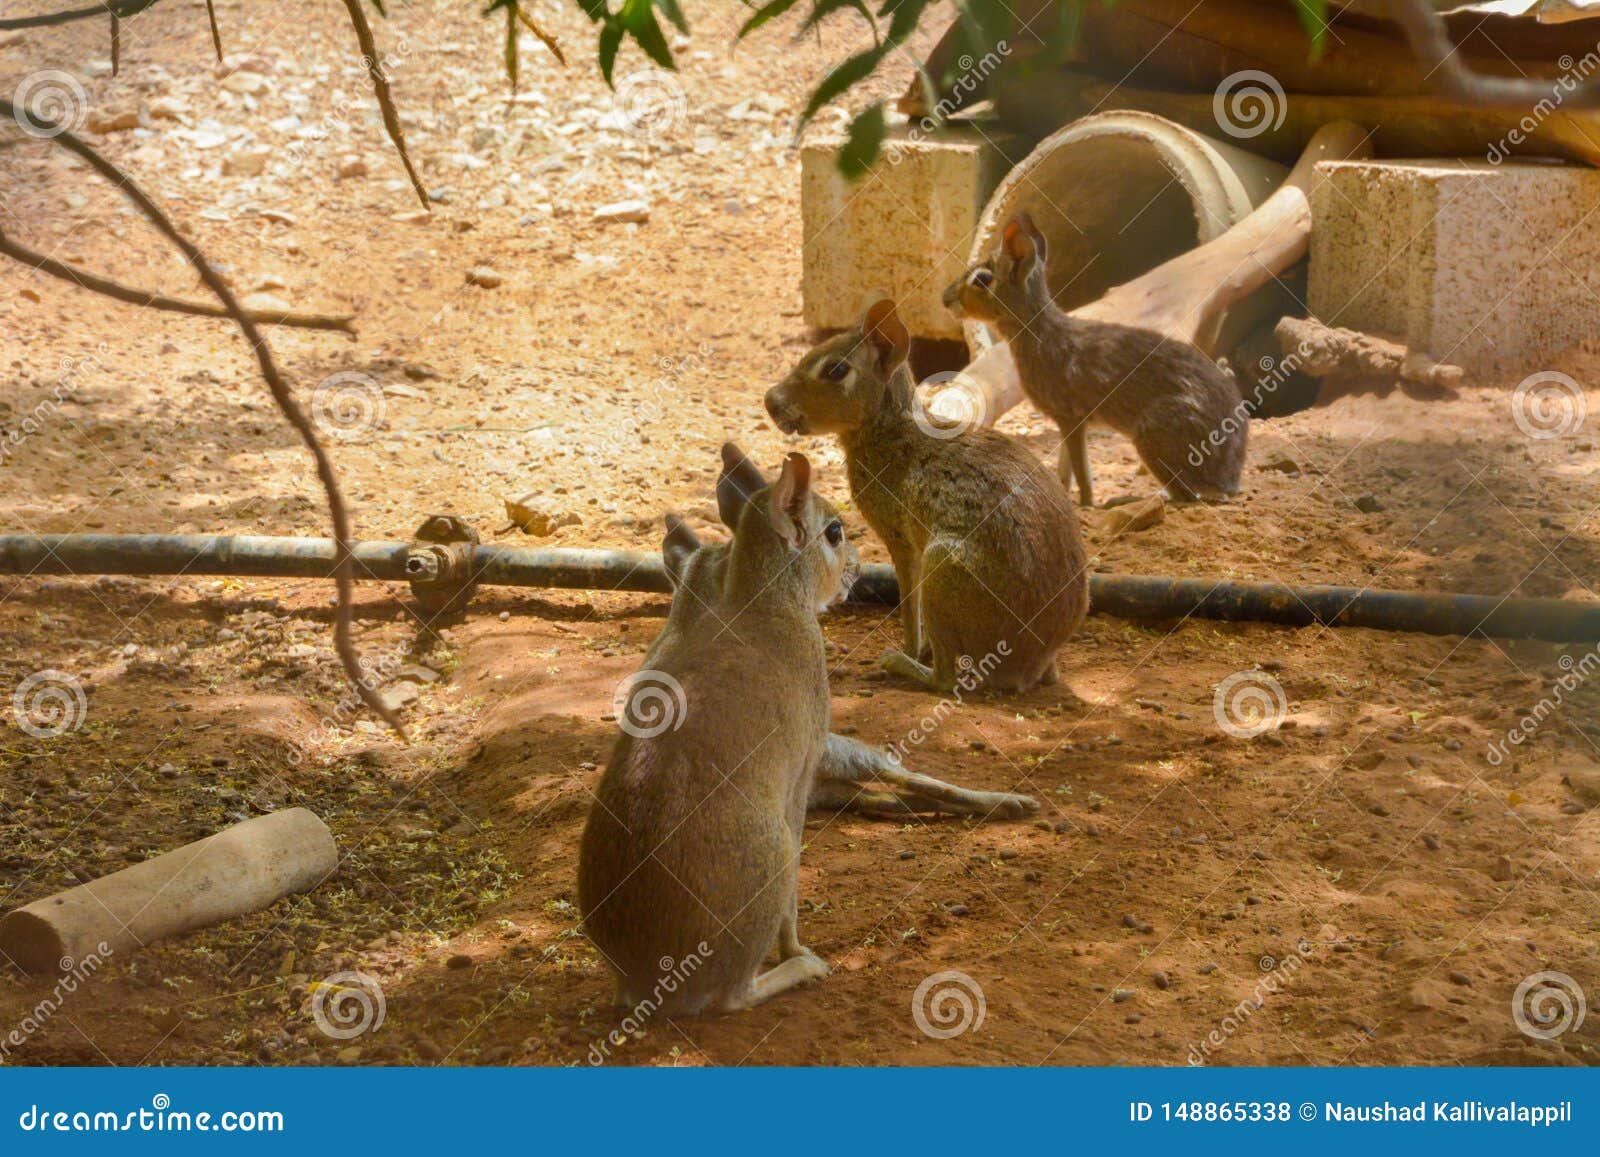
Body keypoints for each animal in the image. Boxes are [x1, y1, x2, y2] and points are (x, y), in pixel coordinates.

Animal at [578, 444, 849, 1016]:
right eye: (834, 532)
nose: (857, 572)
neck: (761, 601)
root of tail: (644, 982)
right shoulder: (803, 776)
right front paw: (799, 949)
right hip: (771, 859)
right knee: (736, 996)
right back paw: (799, 969)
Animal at [659, 511, 1039, 820]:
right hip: (836, 773)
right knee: (899, 791)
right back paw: (1010, 804)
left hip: (838, 764)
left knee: (905, 784)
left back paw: (1011, 803)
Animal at [765, 298, 1088, 695]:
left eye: (836, 369)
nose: (771, 402)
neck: (888, 429)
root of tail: (1031, 662)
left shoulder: (902, 544)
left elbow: (908, 603)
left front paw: (909, 648)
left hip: (941, 562)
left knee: (946, 679)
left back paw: (900, 662)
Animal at [944, 212, 1248, 506]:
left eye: (982, 280)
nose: (945, 299)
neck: (1036, 330)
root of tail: (1230, 477)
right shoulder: (1070, 423)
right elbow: (1067, 467)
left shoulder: (1070, 418)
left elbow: (1081, 470)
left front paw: (1087, 504)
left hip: (1150, 436)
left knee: (1184, 497)